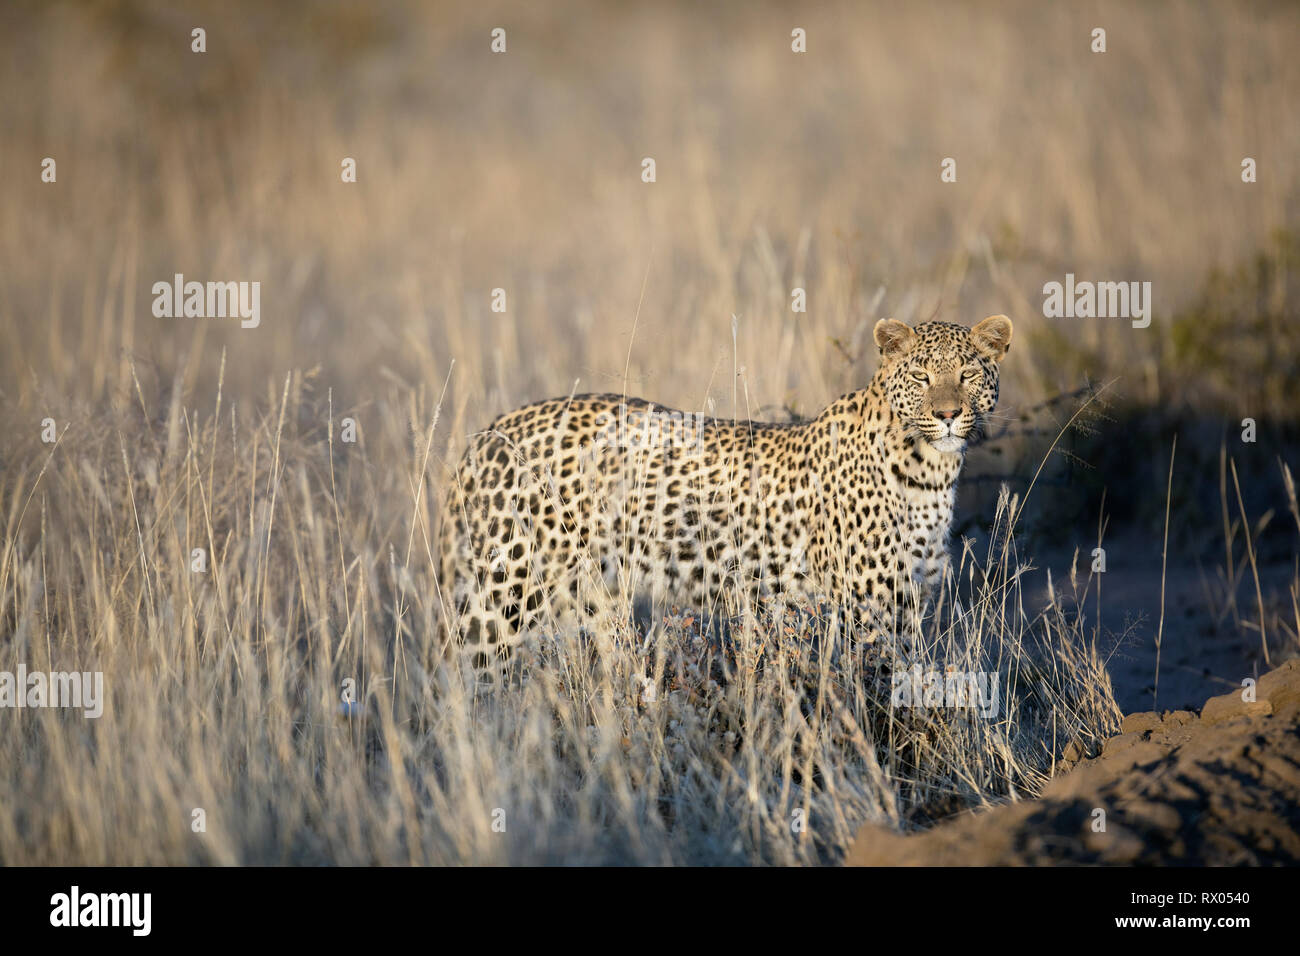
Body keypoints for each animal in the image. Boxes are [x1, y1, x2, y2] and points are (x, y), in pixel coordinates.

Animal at [437, 314, 1012, 682]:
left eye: (967, 373)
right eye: (921, 375)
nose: (946, 414)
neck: (929, 471)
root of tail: (492, 432)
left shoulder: (910, 601)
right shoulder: (869, 610)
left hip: (588, 596)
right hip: (506, 593)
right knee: (465, 681)